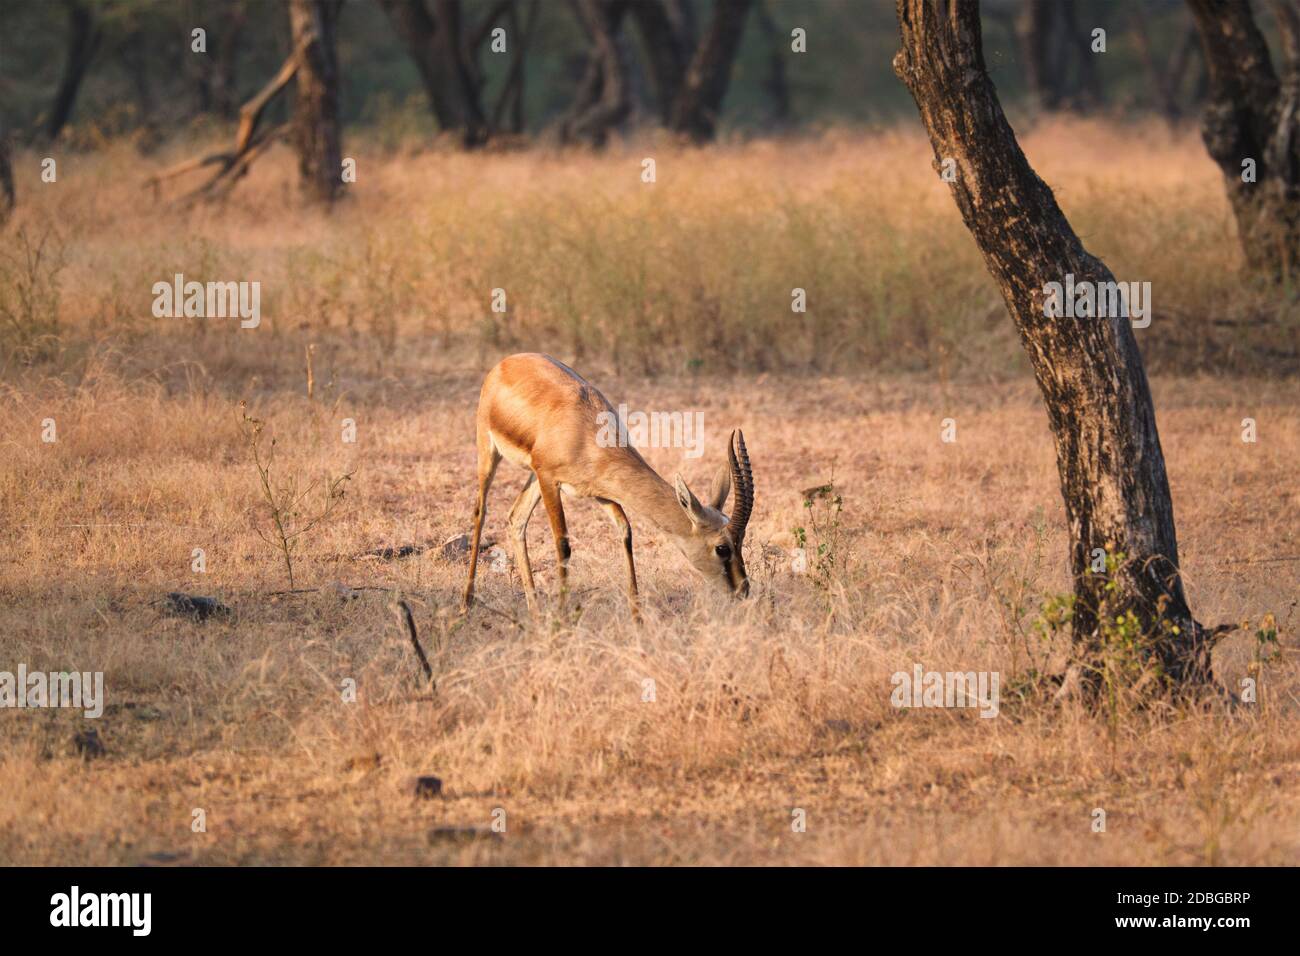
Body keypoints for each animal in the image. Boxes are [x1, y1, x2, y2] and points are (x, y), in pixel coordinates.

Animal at [461, 353, 754, 617]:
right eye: (722, 548)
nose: (744, 590)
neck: (584, 433)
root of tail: (507, 361)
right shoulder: (550, 480)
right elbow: (563, 544)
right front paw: (562, 621)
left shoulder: (601, 491)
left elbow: (625, 532)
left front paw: (637, 620)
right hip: (490, 455)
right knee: (480, 511)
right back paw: (467, 602)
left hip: (533, 478)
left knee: (516, 519)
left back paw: (533, 609)